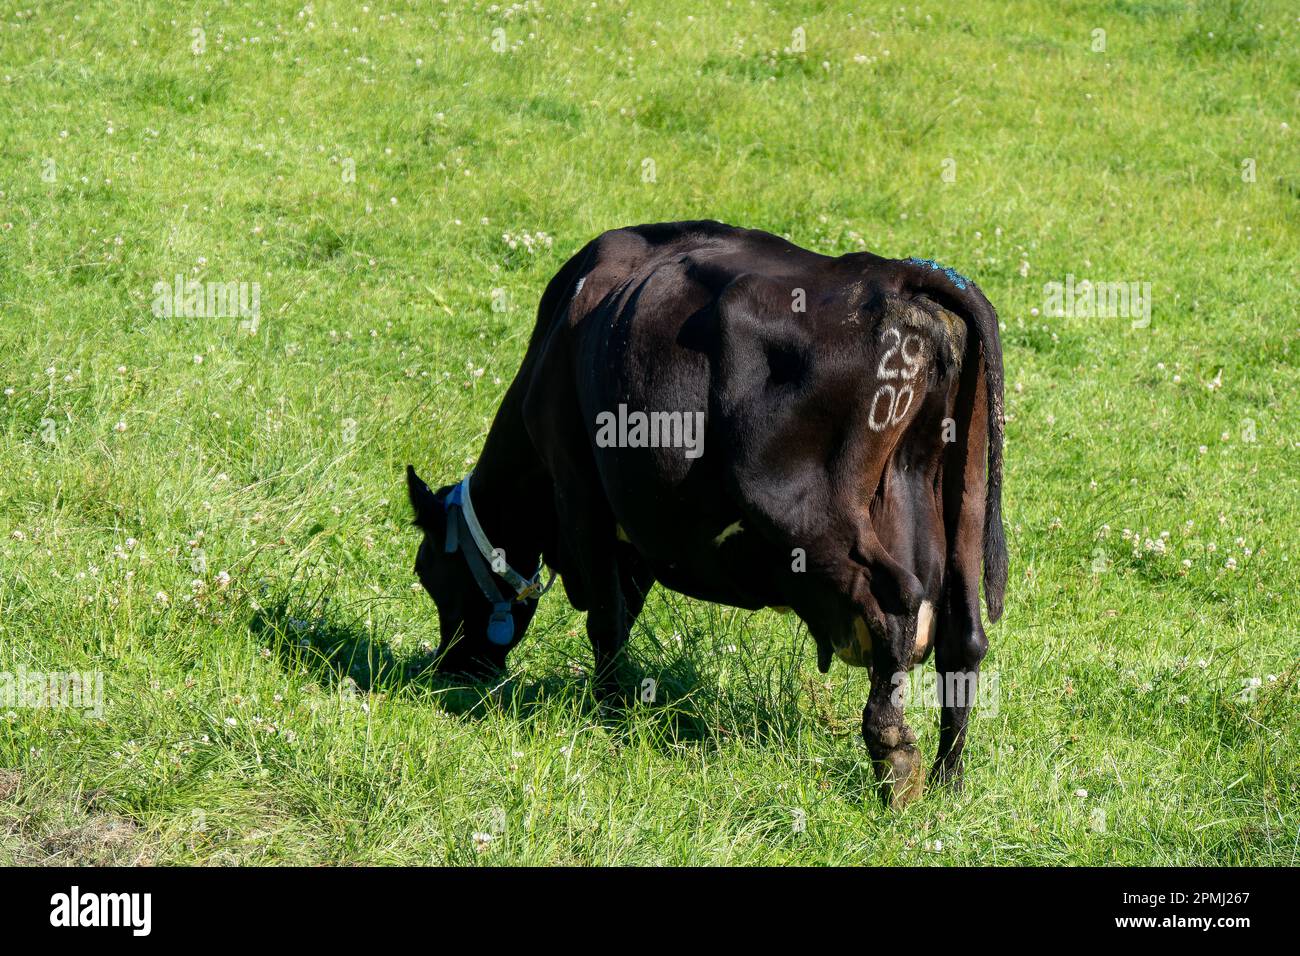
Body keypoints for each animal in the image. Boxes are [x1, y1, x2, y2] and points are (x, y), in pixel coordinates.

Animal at [407, 220, 1006, 807]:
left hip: (808, 517)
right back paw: (948, 780)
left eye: (431, 574)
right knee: (963, 636)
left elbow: (606, 618)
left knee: (897, 602)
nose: (449, 670)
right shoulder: (636, 536)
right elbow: (622, 611)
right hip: (962, 502)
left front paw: (609, 713)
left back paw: (896, 760)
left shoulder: (581, 493)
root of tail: (899, 276)